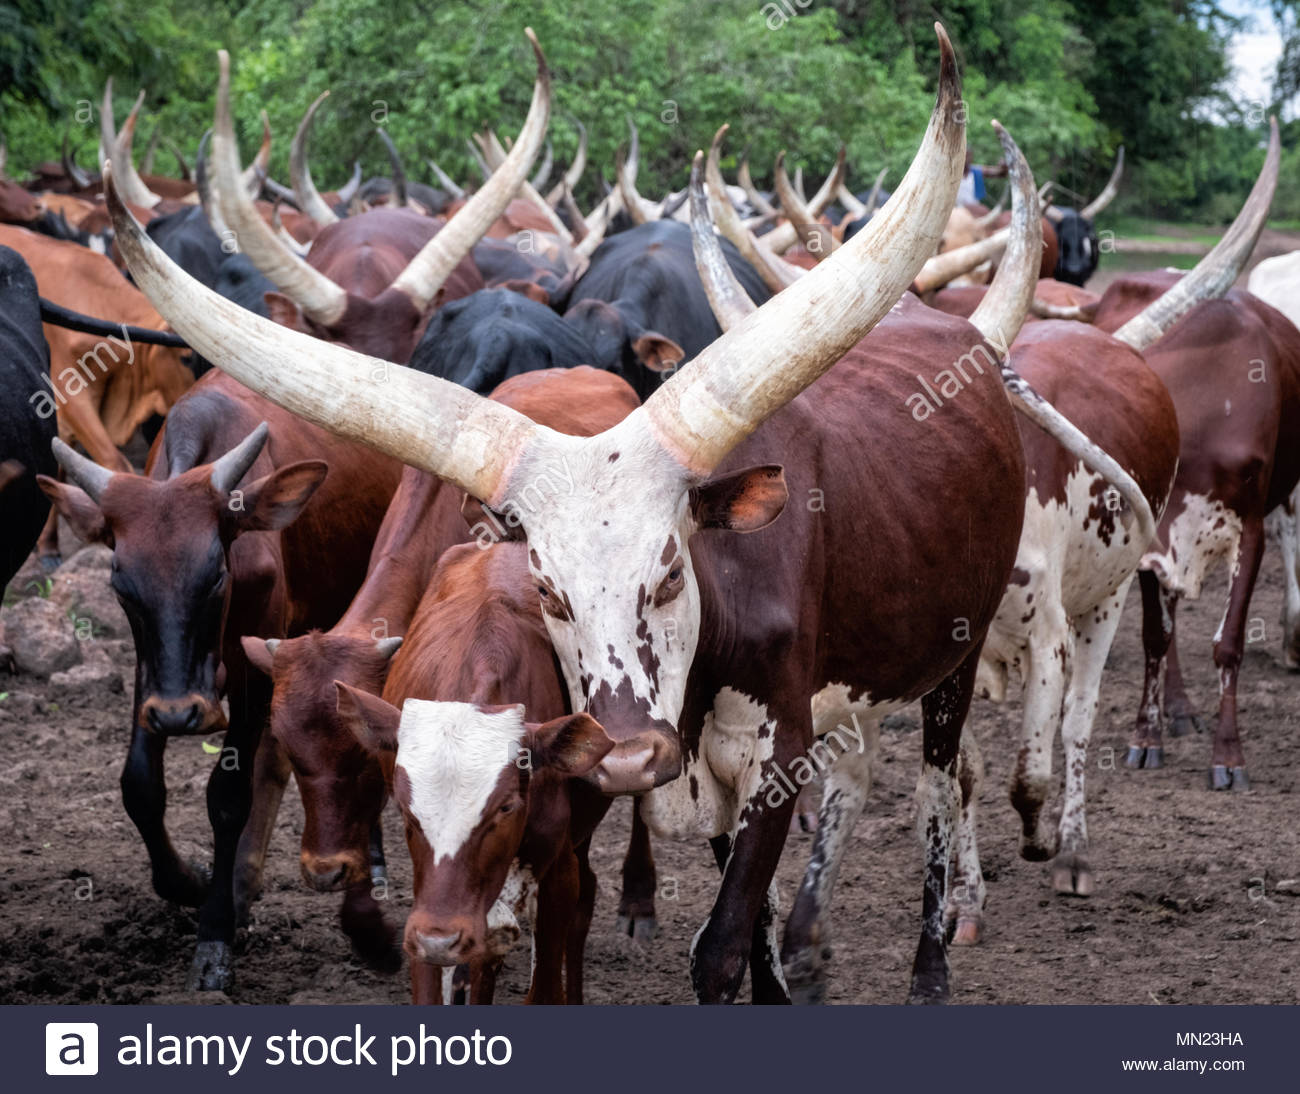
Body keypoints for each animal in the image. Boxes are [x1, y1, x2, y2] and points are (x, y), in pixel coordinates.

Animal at [36, 364, 403, 992]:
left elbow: (229, 795)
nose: (183, 715)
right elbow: (139, 786)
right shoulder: (152, 675)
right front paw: (191, 880)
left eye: (215, 576)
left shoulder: (254, 673)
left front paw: (214, 938)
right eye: (121, 585)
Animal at [110, 29, 1153, 1003]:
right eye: (546, 591)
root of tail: (944, 324)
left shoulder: (774, 750)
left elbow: (721, 946)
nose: (624, 755)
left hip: (957, 655)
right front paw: (782, 971)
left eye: (670, 568)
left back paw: (934, 965)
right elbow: (745, 921)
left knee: (945, 788)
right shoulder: (702, 772)